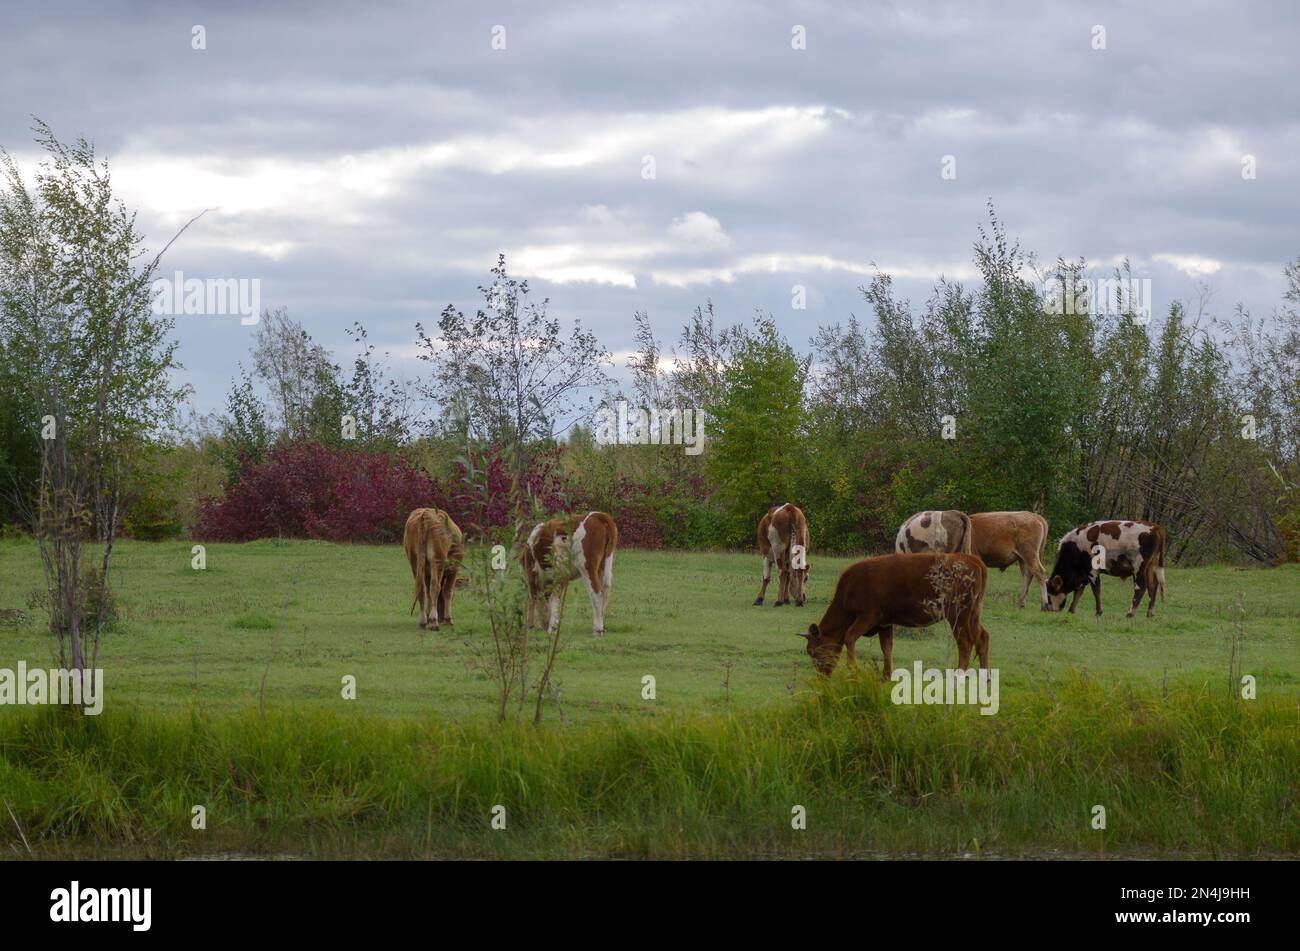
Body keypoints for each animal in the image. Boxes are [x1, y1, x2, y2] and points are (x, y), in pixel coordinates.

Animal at [799, 552, 990, 678]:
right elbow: (887, 648)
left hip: (958, 616)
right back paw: (985, 677)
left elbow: (849, 637)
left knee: (965, 642)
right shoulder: (885, 623)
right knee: (982, 637)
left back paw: (959, 676)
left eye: (813, 651)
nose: (821, 676)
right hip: (973, 615)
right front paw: (886, 676)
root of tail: (972, 559)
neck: (849, 589)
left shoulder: (867, 617)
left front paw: (853, 669)